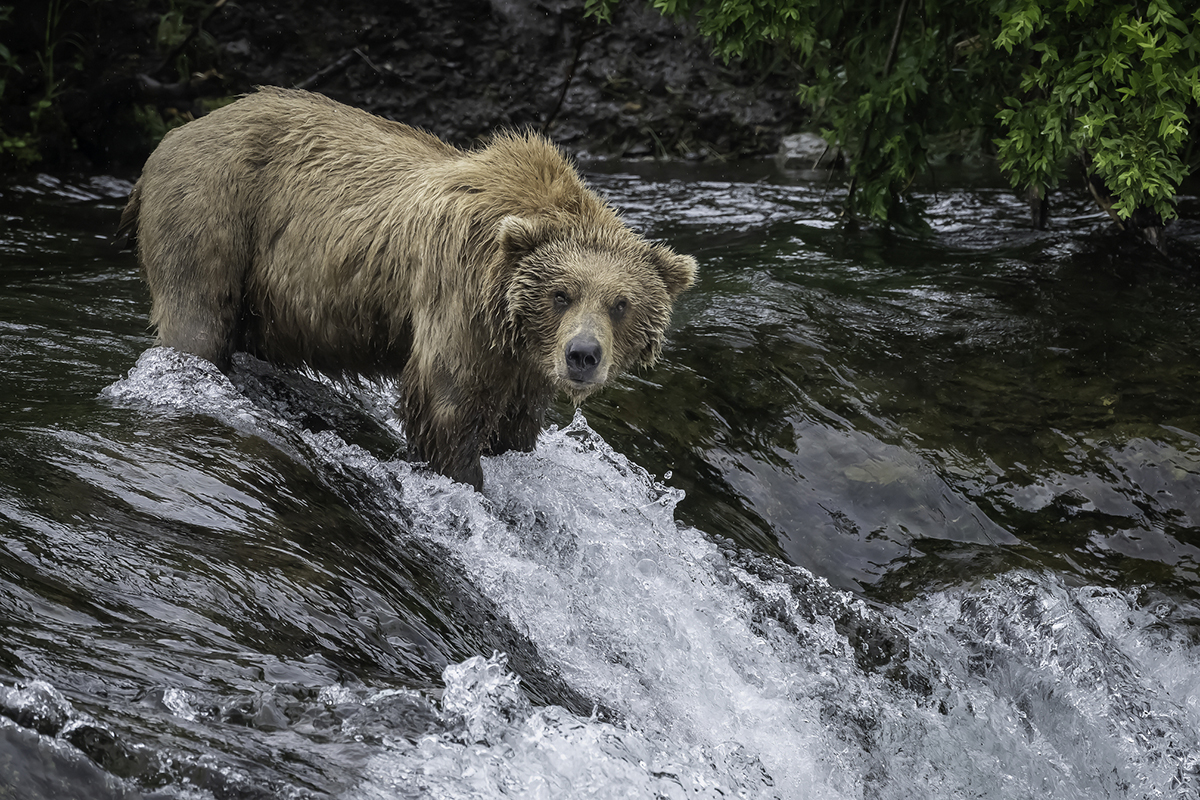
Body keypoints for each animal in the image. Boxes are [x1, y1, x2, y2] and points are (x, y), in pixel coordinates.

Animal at [119, 87, 696, 491]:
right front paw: (466, 479)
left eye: (621, 303)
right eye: (562, 294)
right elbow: (445, 402)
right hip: (213, 209)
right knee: (197, 316)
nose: (583, 354)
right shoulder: (459, 293)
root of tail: (170, 139)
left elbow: (518, 421)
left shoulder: (524, 358)